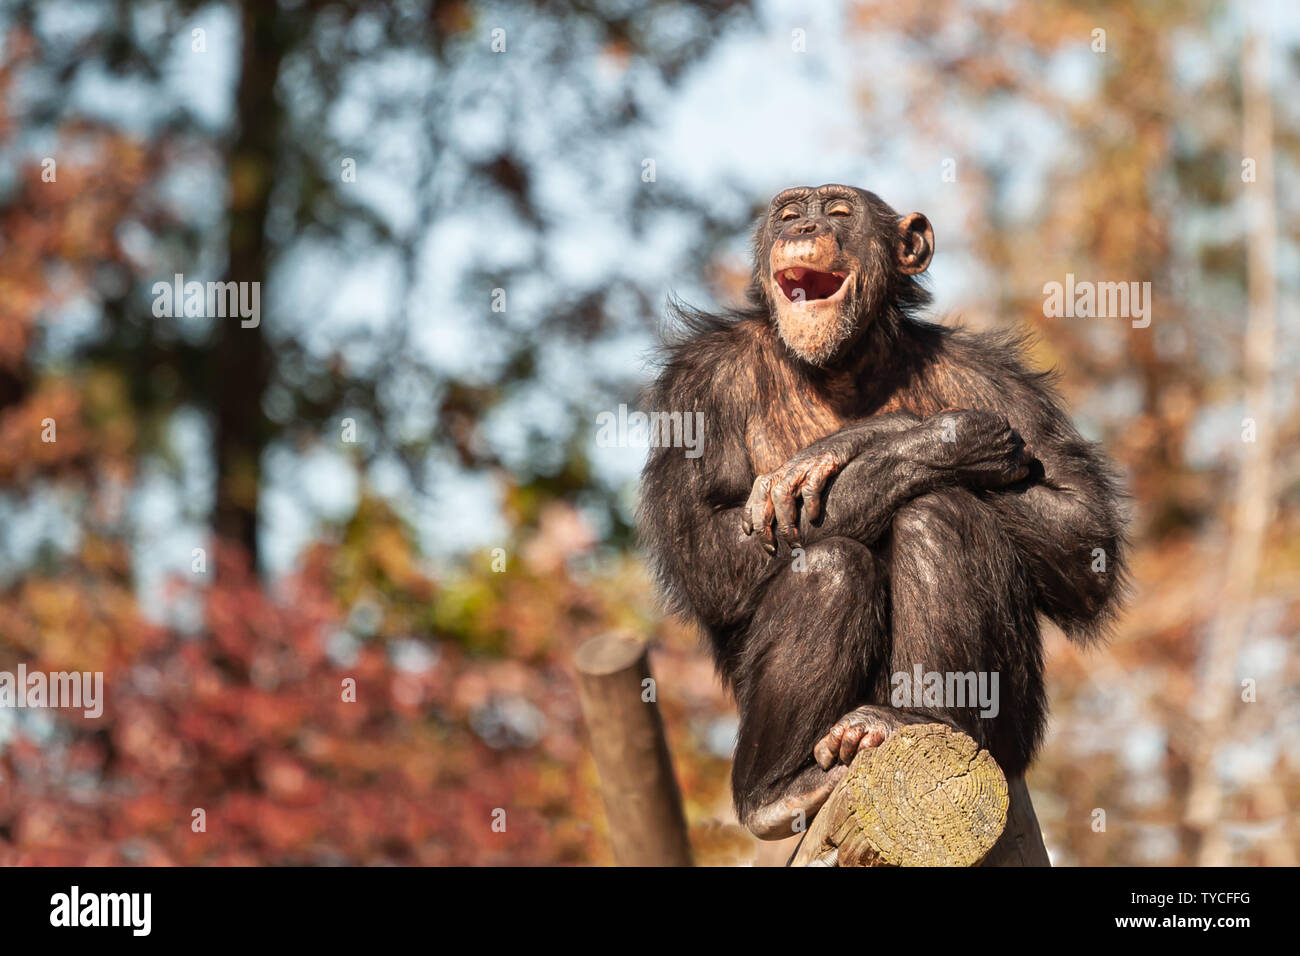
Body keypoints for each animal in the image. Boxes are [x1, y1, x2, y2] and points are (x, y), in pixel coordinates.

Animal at [638, 184, 1127, 839]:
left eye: (839, 212)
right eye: (788, 212)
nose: (805, 226)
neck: (842, 366)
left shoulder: (991, 378)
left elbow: (1083, 532)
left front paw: (883, 436)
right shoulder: (699, 382)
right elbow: (706, 550)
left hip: (1015, 737)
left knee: (937, 509)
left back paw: (916, 719)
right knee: (830, 568)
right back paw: (778, 792)